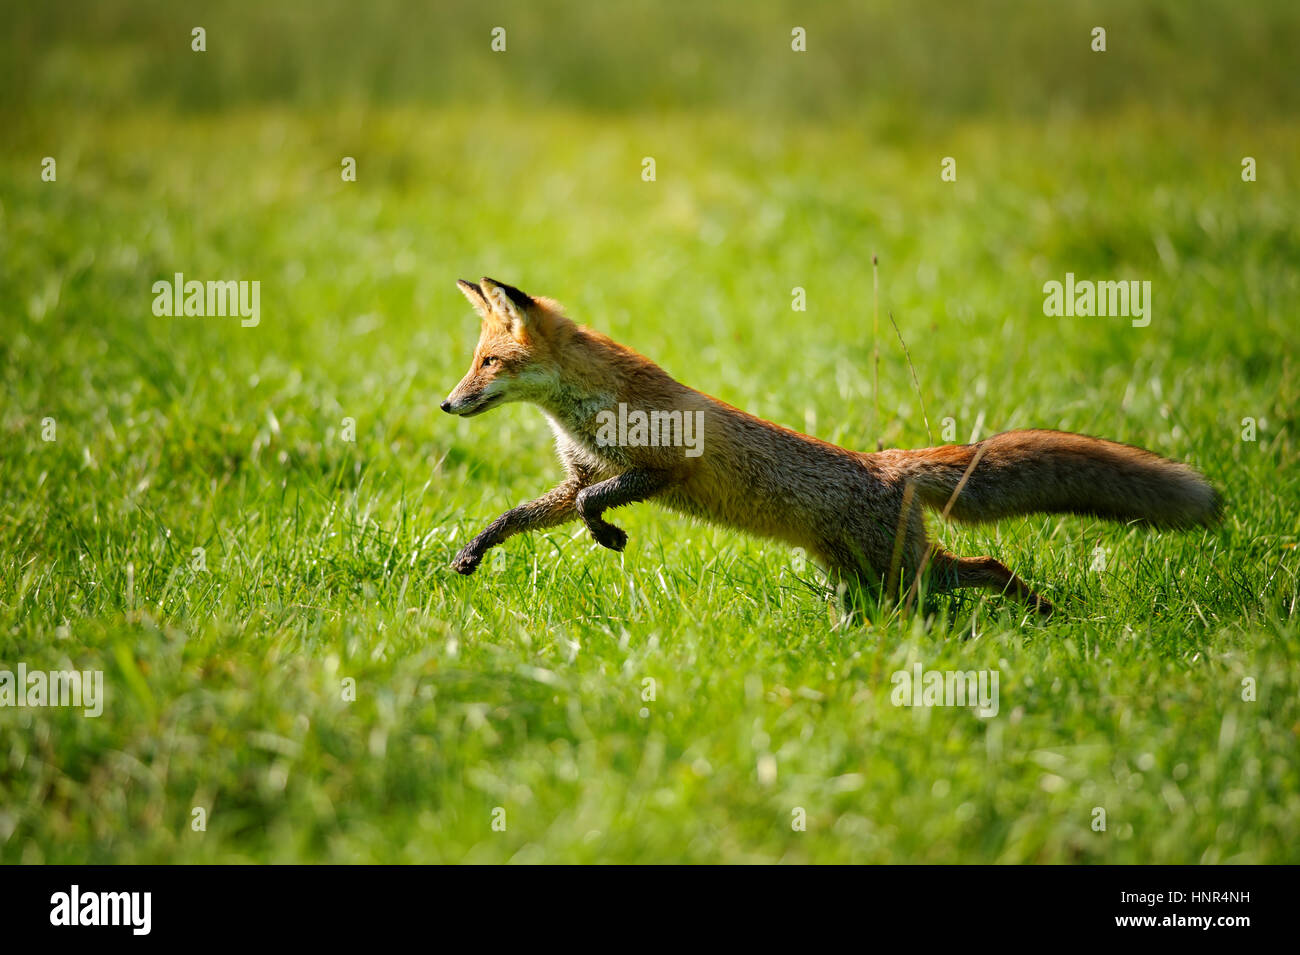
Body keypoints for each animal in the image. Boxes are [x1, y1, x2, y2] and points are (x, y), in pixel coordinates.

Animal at [442, 278, 1221, 616]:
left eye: (488, 363)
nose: (447, 404)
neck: (581, 410)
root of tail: (887, 464)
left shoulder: (664, 467)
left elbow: (597, 503)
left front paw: (608, 536)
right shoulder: (578, 477)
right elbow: (521, 515)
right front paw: (474, 552)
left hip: (896, 572)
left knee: (986, 565)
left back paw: (1043, 612)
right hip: (874, 573)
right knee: (976, 569)